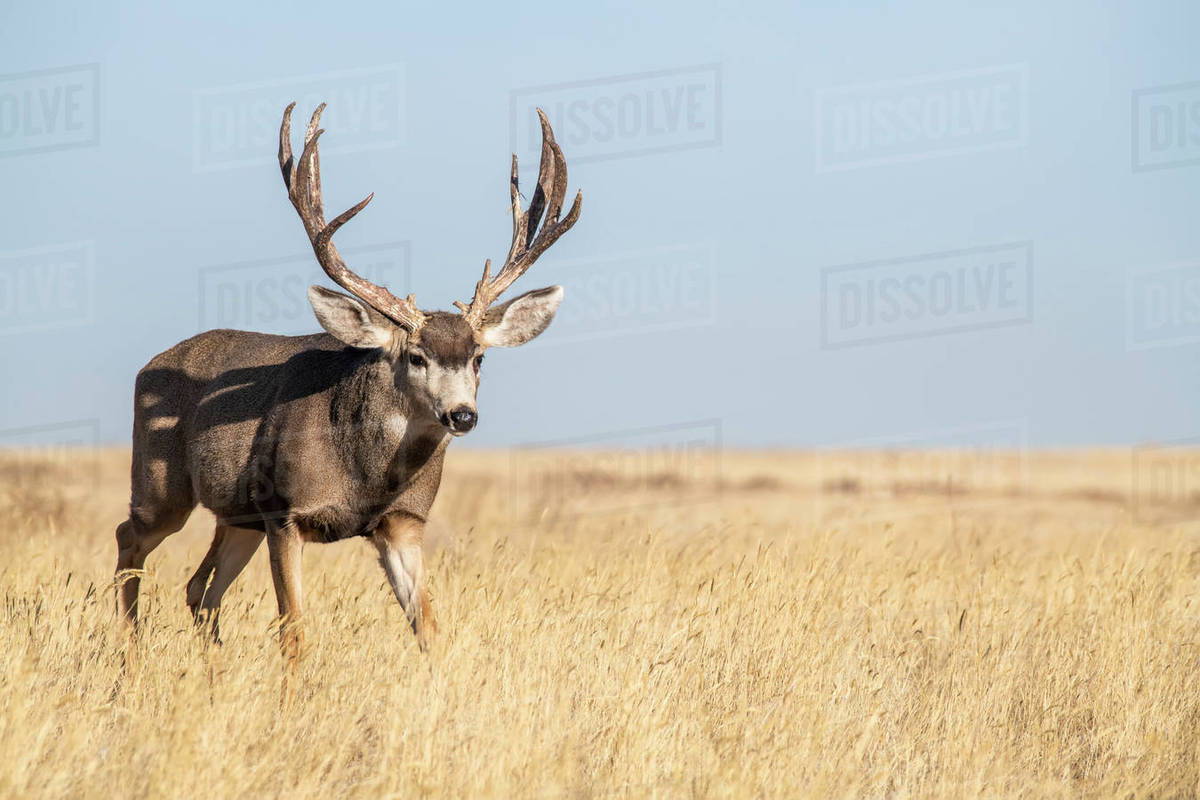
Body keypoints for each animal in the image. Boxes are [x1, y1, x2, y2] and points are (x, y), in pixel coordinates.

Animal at [114, 102, 581, 657]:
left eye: (479, 358)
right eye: (415, 356)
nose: (462, 415)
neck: (366, 476)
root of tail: (149, 365)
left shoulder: (403, 523)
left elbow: (429, 627)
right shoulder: (283, 511)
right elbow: (294, 630)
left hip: (236, 515)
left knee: (199, 588)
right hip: (163, 485)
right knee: (130, 540)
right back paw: (128, 652)